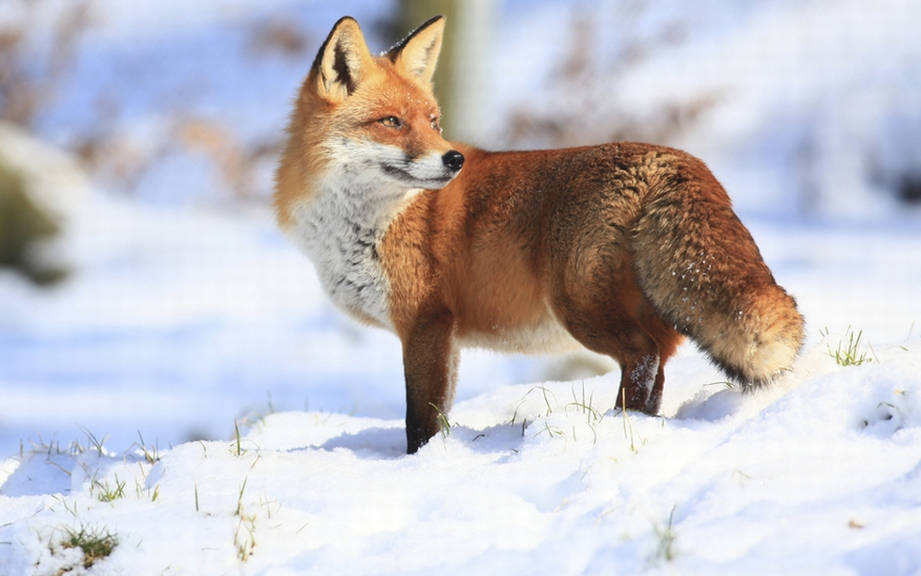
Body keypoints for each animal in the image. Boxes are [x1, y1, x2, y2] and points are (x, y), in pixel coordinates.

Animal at [274, 15, 805, 454]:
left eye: (433, 122)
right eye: (391, 121)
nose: (453, 159)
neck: (370, 221)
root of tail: (676, 159)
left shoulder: (425, 323)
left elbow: (419, 421)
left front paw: (419, 465)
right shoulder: (447, 337)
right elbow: (440, 412)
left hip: (578, 305)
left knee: (643, 357)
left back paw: (617, 427)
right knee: (657, 372)